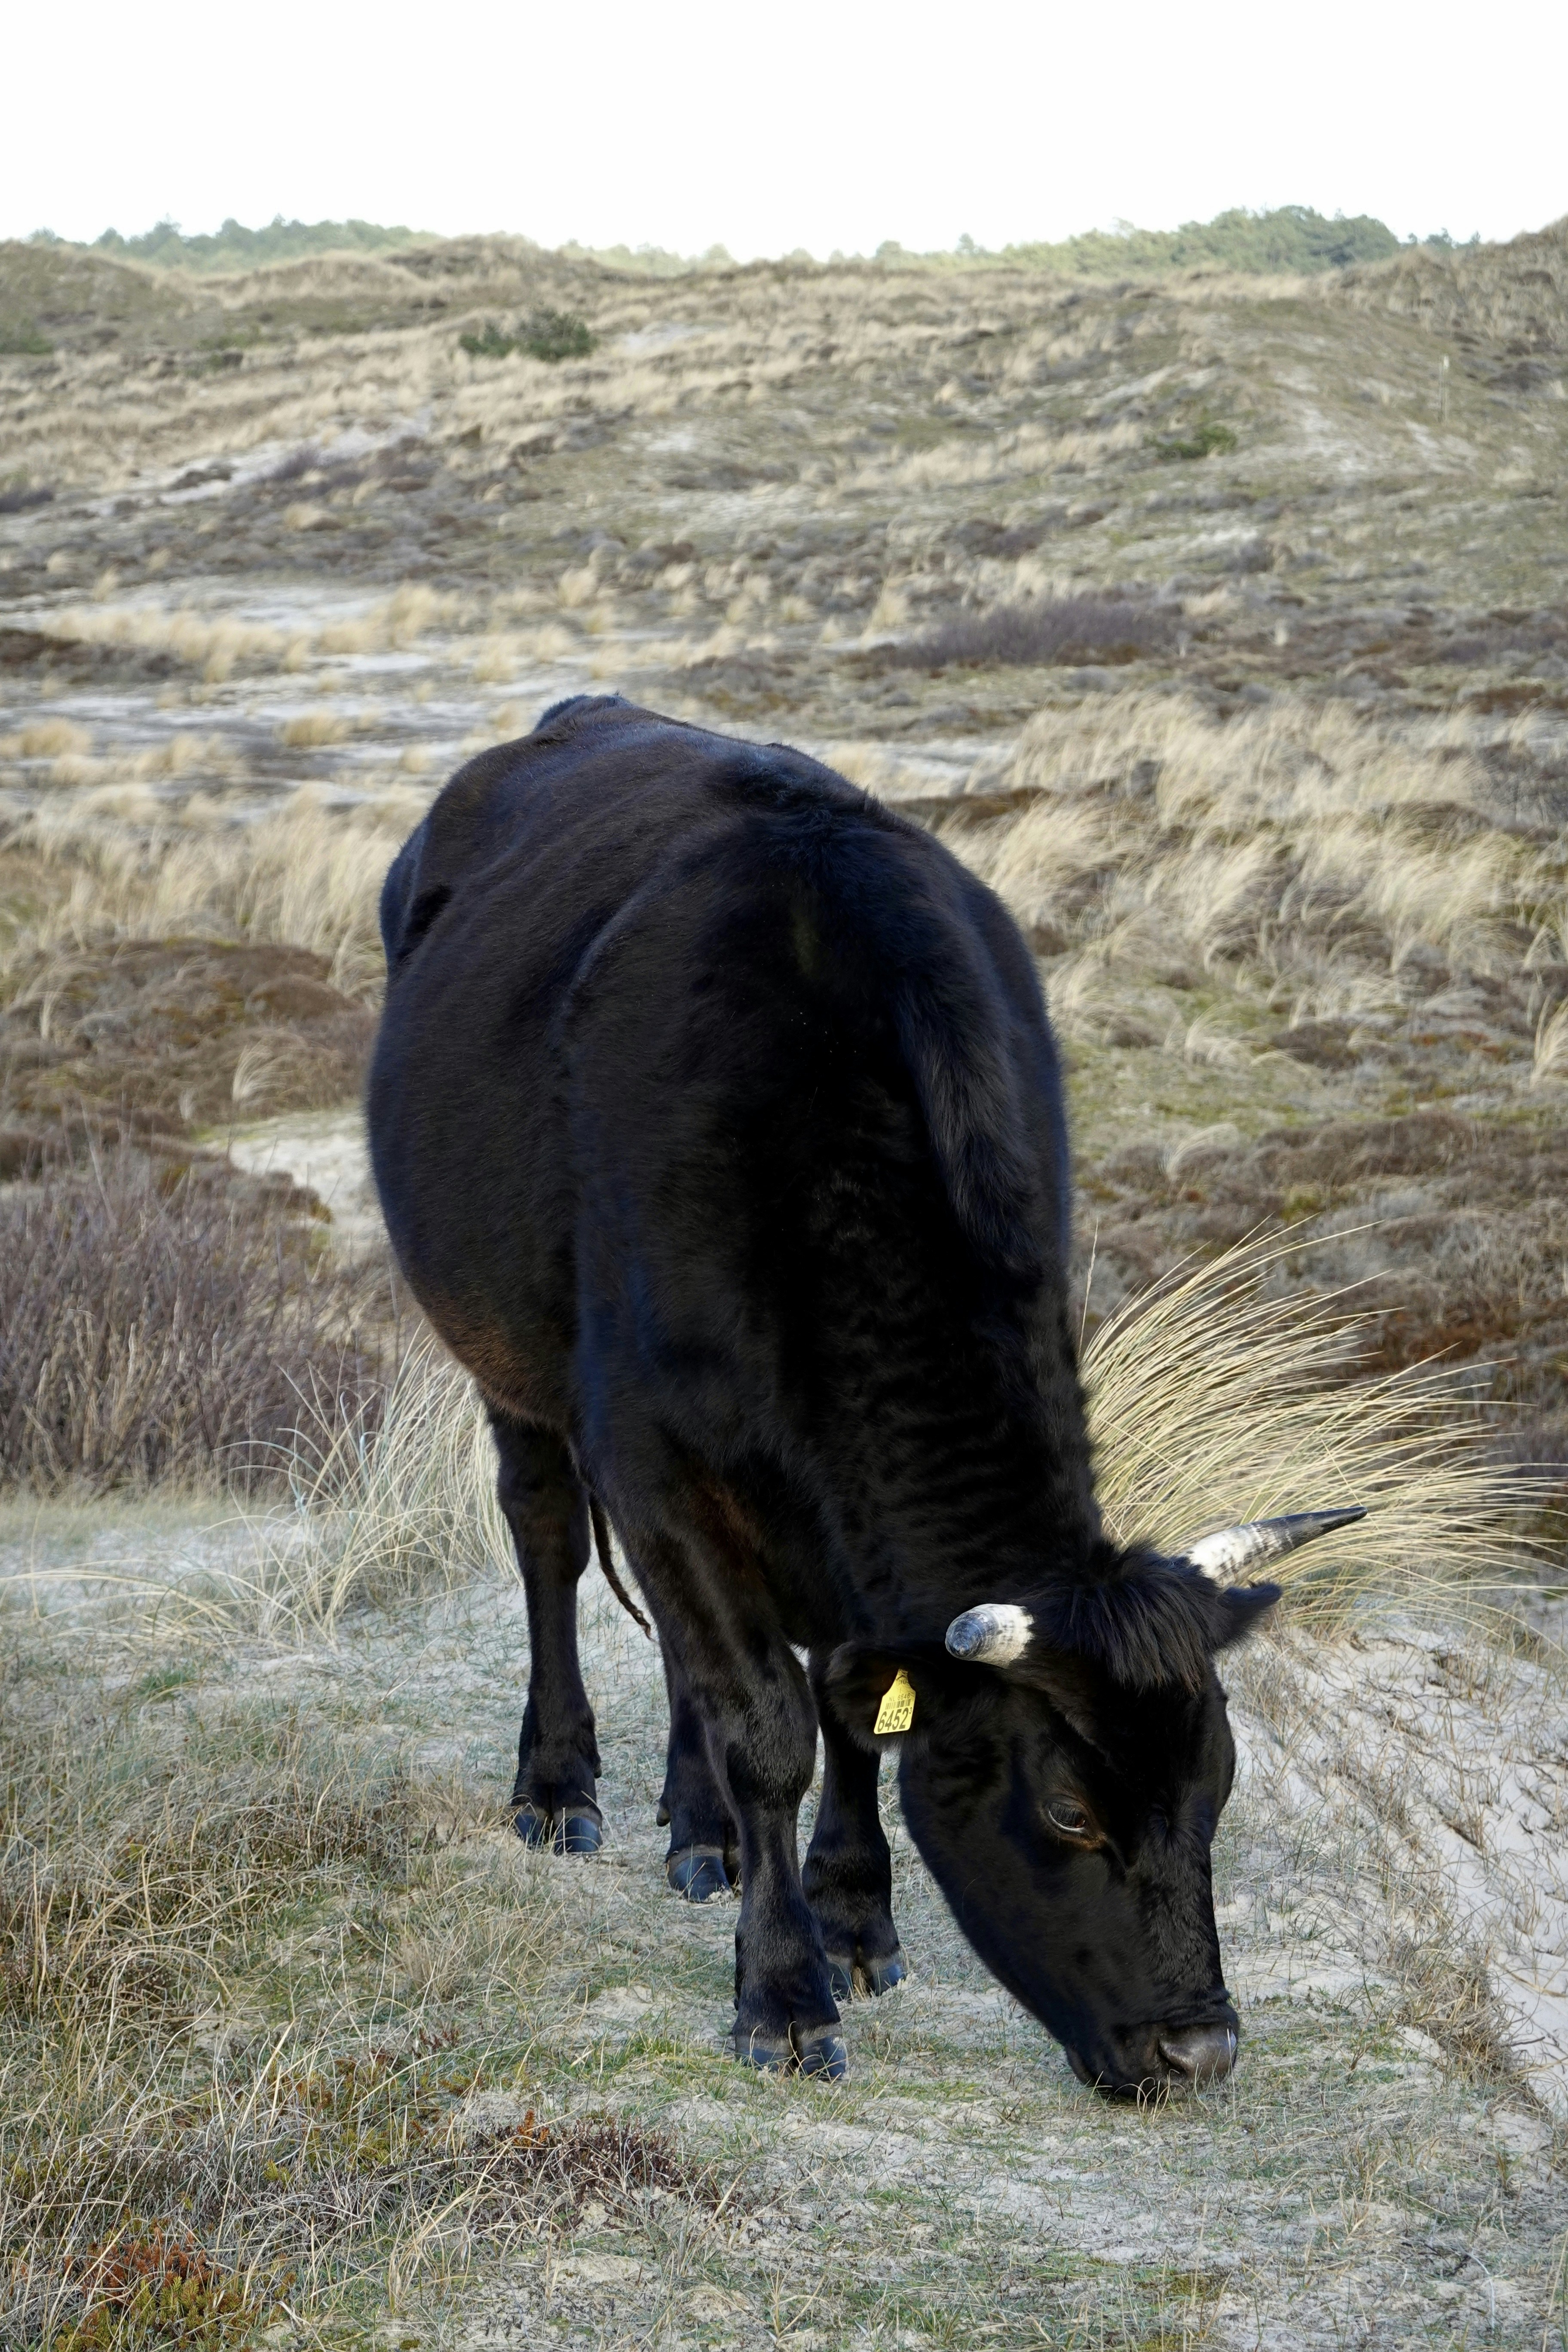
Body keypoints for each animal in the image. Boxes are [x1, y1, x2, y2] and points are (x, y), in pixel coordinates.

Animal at [367, 695, 1358, 2094]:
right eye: (1071, 1813)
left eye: (1215, 1786)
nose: (1201, 2048)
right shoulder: (657, 1453)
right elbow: (768, 1727)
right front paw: (782, 1990)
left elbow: (845, 1704)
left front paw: (851, 1911)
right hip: (505, 1352)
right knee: (549, 1536)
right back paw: (561, 1786)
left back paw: (698, 1829)